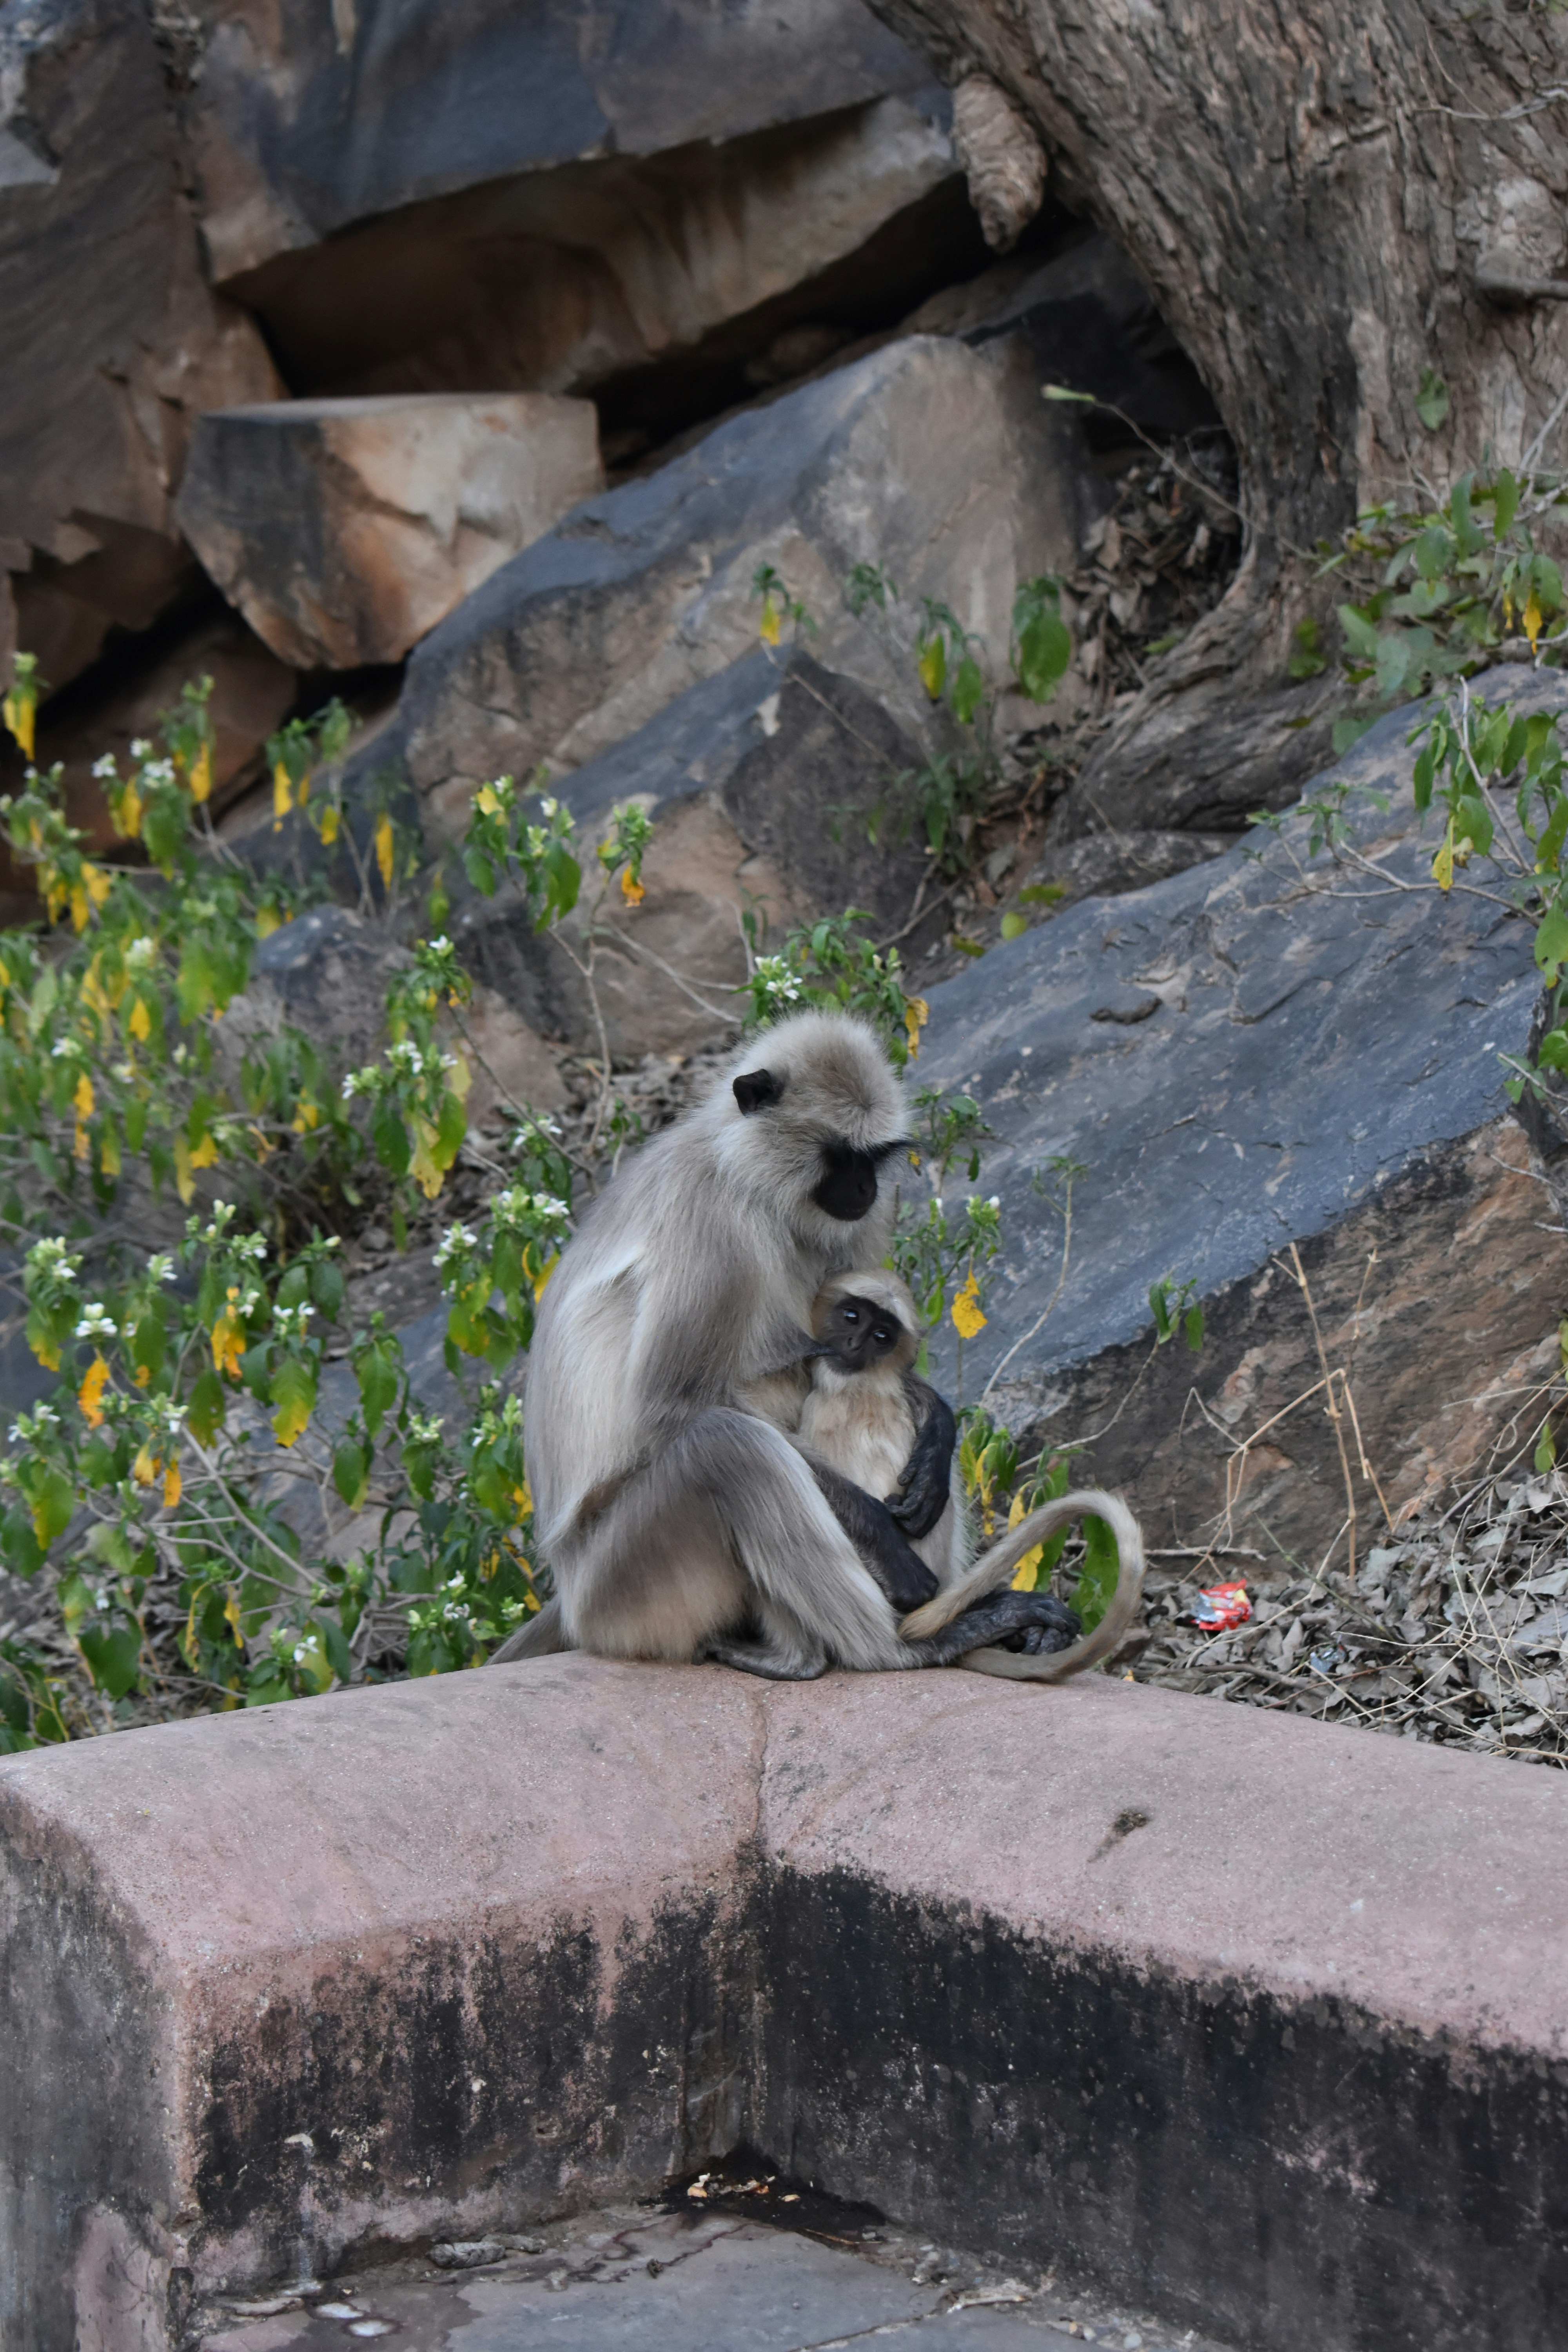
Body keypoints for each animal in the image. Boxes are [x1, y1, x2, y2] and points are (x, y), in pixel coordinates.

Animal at [489, 1008, 1097, 1679]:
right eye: (839, 1155)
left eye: (875, 1157)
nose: (863, 1188)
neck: (745, 1176)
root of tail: (571, 1597)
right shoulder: (711, 1220)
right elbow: (670, 1410)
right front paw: (879, 1531)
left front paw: (938, 1428)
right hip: (623, 1590)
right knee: (729, 1447)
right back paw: (906, 1645)